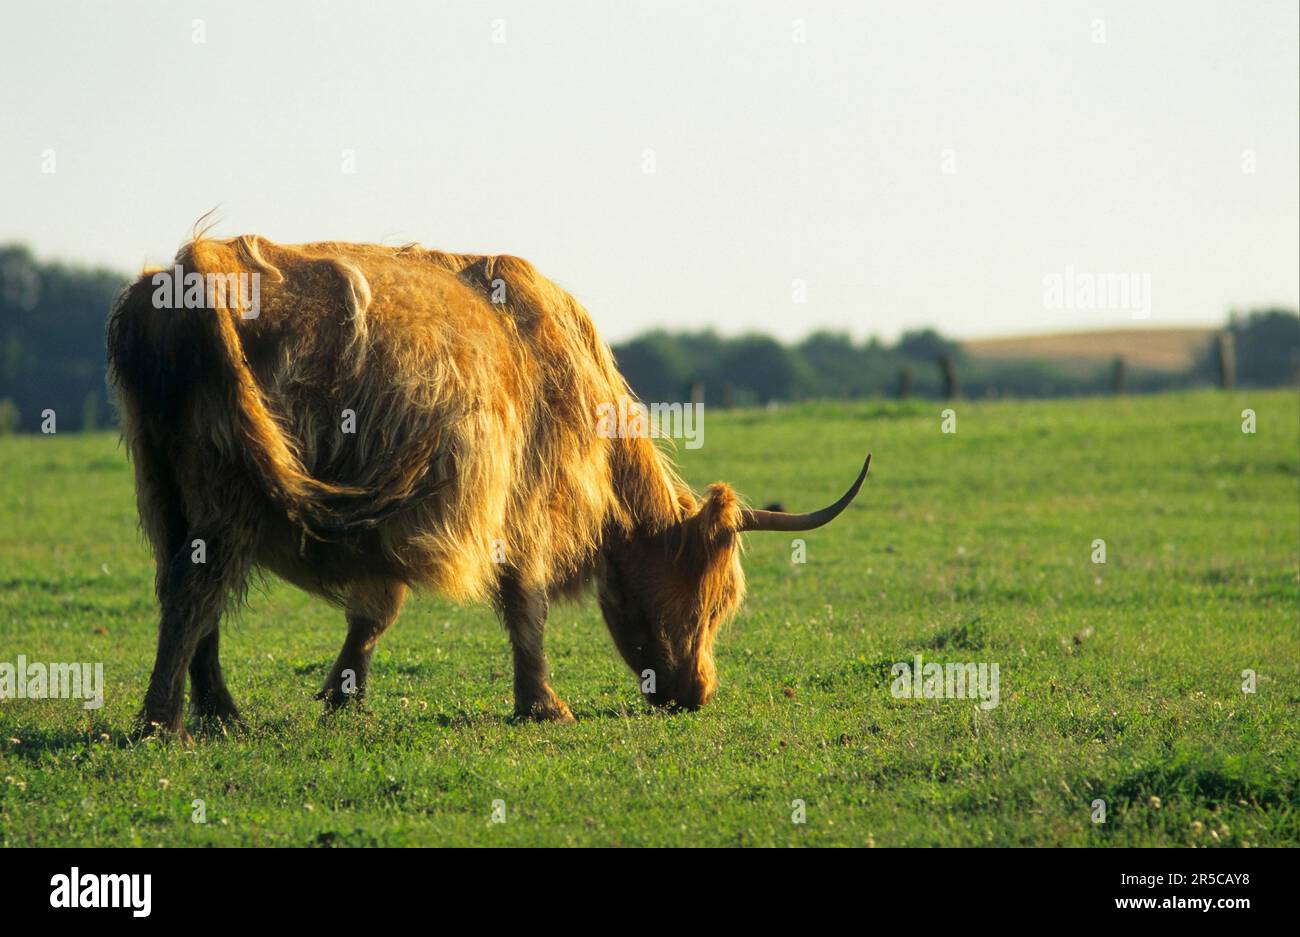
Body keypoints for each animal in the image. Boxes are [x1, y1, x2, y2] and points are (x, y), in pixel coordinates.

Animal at [106, 235, 869, 736]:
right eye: (711, 601)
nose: (696, 694)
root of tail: (197, 261)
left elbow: (375, 613)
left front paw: (345, 694)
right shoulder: (522, 508)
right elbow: (522, 604)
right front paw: (543, 705)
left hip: (167, 495)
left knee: (190, 596)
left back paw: (218, 710)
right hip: (226, 501)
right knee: (194, 596)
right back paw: (164, 720)